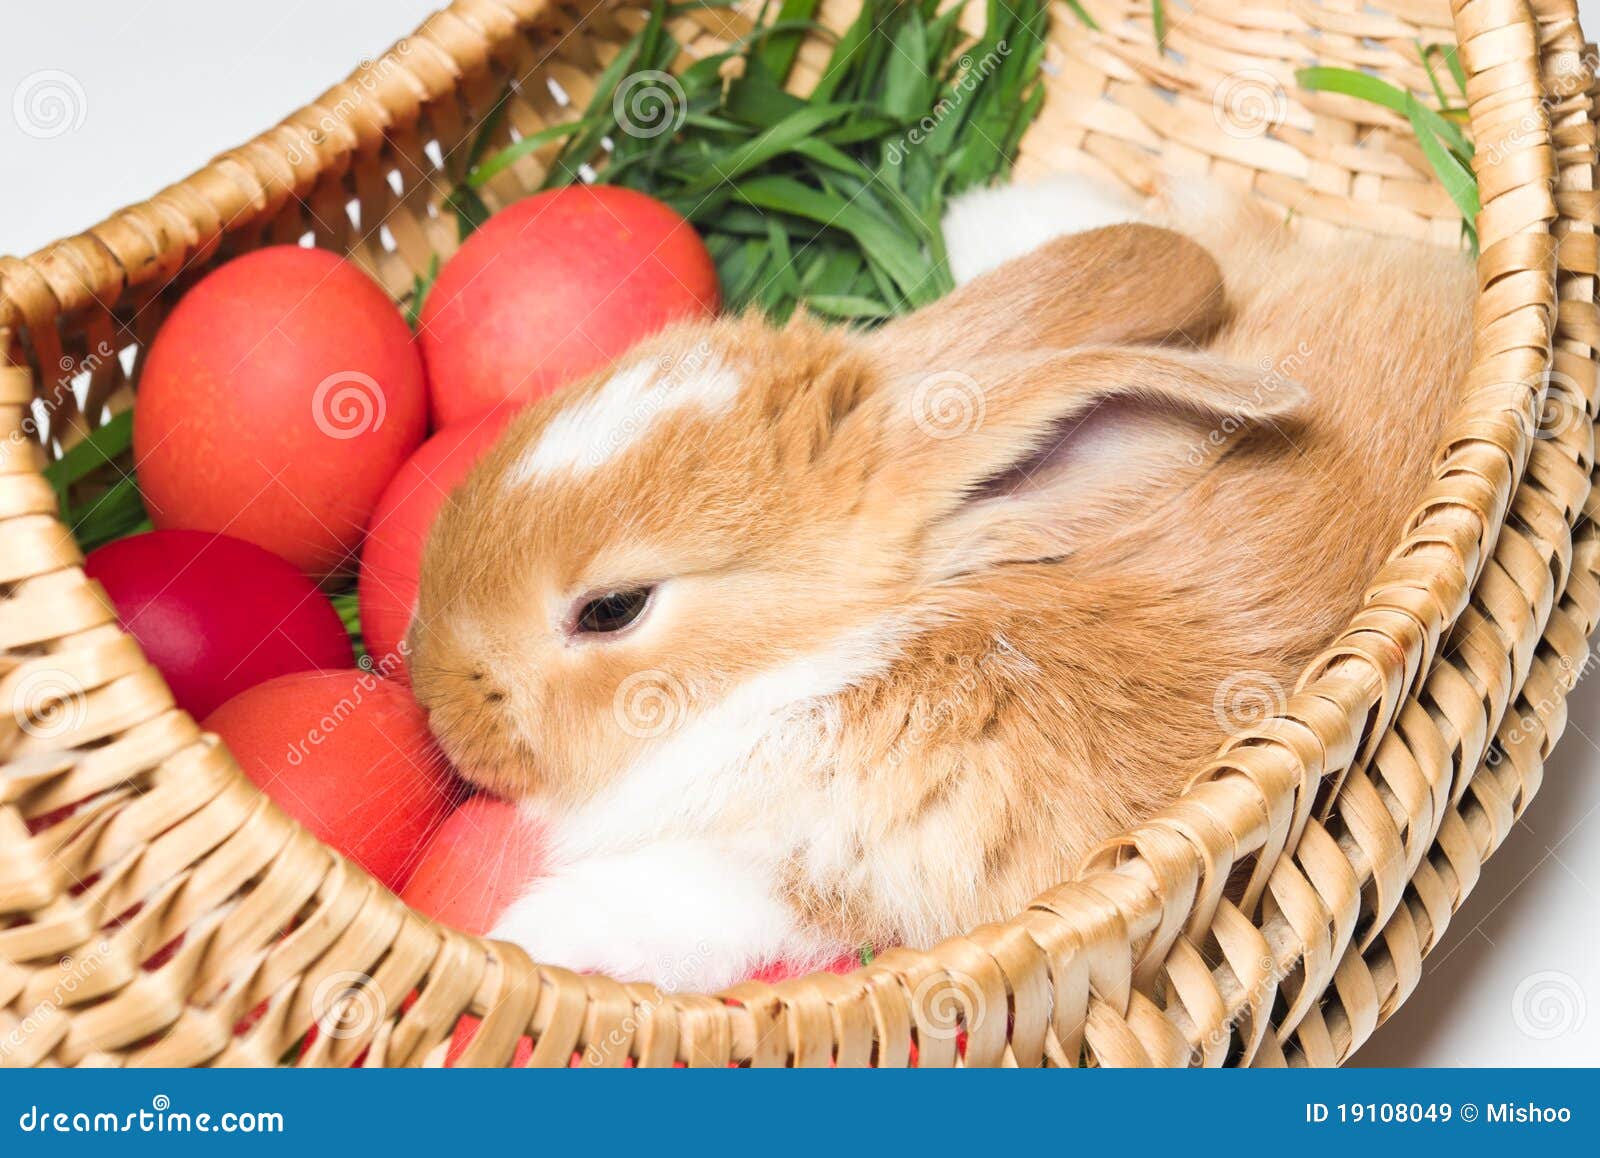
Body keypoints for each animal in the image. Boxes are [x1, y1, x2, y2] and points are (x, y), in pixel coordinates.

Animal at [407, 174, 1476, 991]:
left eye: (611, 610)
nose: (431, 692)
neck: (839, 650)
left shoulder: (860, 862)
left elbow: (697, 898)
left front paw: (528, 934)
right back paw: (1001, 213)